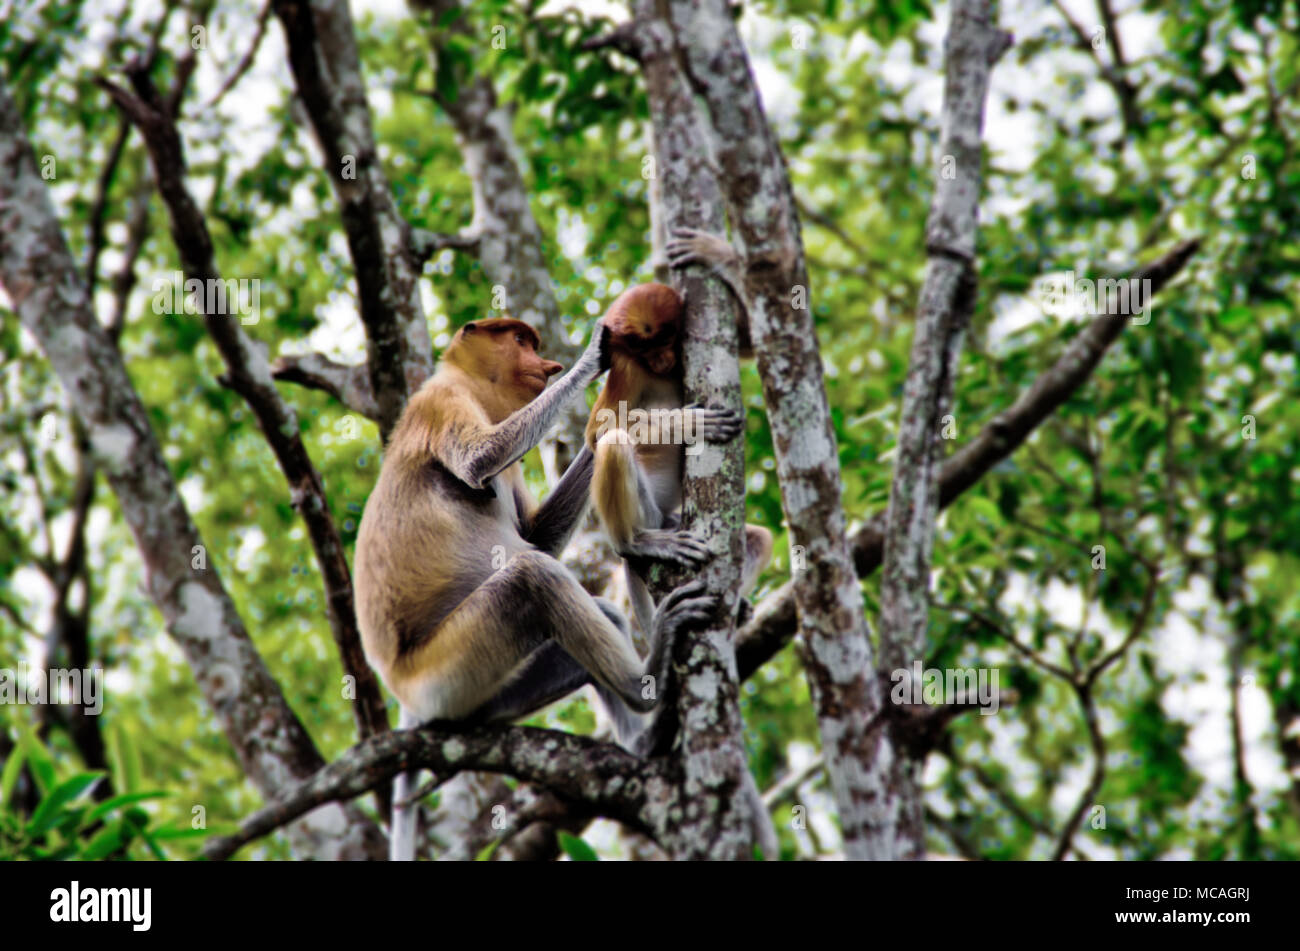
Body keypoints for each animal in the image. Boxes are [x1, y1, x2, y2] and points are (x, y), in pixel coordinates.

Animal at [585, 283, 773, 637]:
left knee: (759, 539)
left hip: (670, 518)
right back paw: (635, 543)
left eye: (665, 338)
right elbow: (598, 431)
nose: (659, 359)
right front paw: (690, 423)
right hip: (648, 511)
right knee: (614, 443)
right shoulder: (627, 368)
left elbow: (749, 342)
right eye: (643, 347)